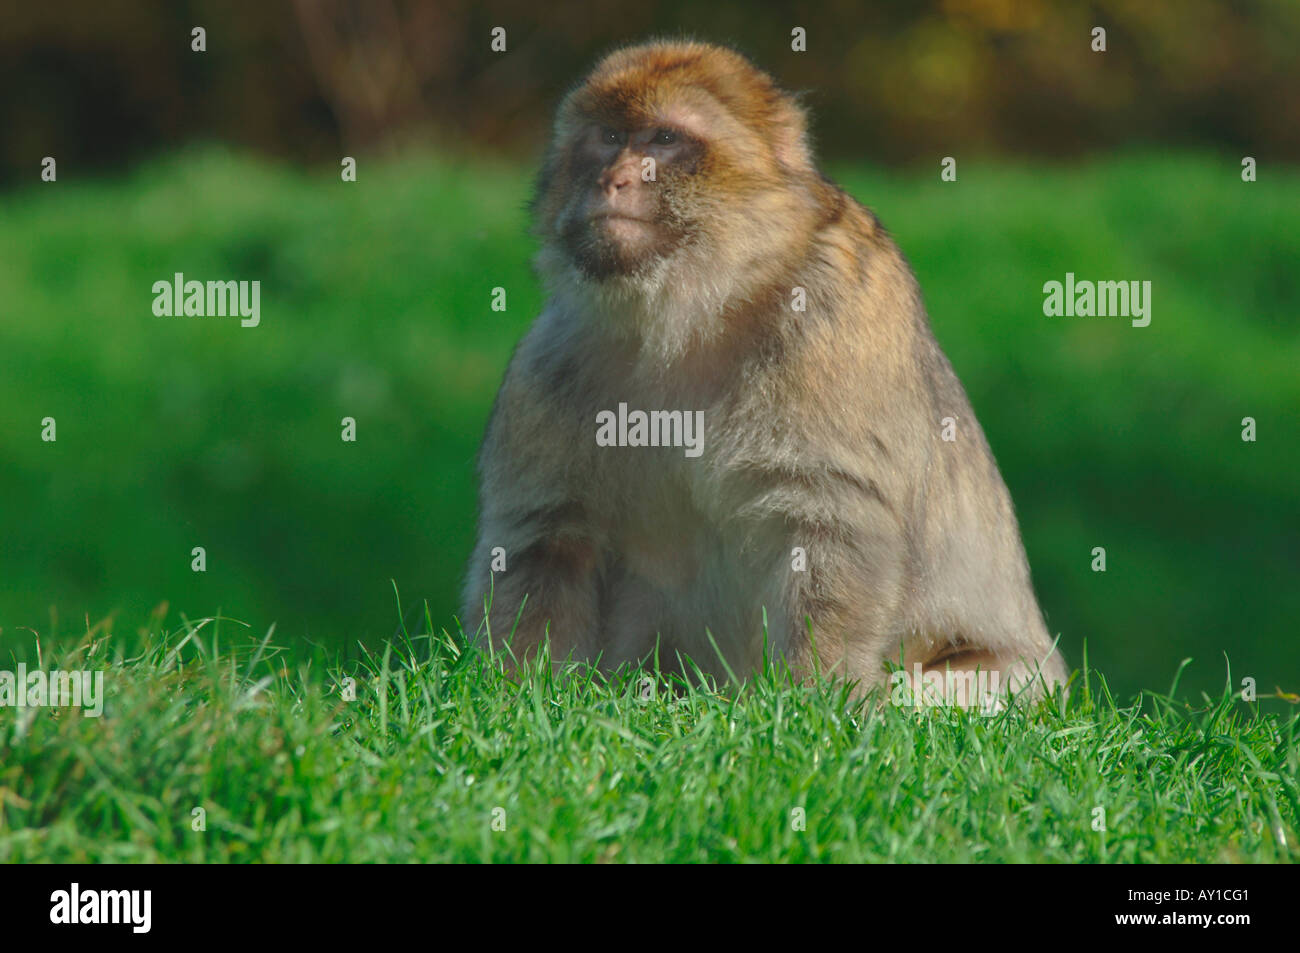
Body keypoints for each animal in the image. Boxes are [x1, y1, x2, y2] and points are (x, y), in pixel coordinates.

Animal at [461, 40, 1067, 706]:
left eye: (663, 139)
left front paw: (817, 701)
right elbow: (546, 538)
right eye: (609, 135)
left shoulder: (835, 314)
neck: (697, 305)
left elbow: (831, 517)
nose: (611, 178)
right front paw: (522, 693)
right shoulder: (551, 355)